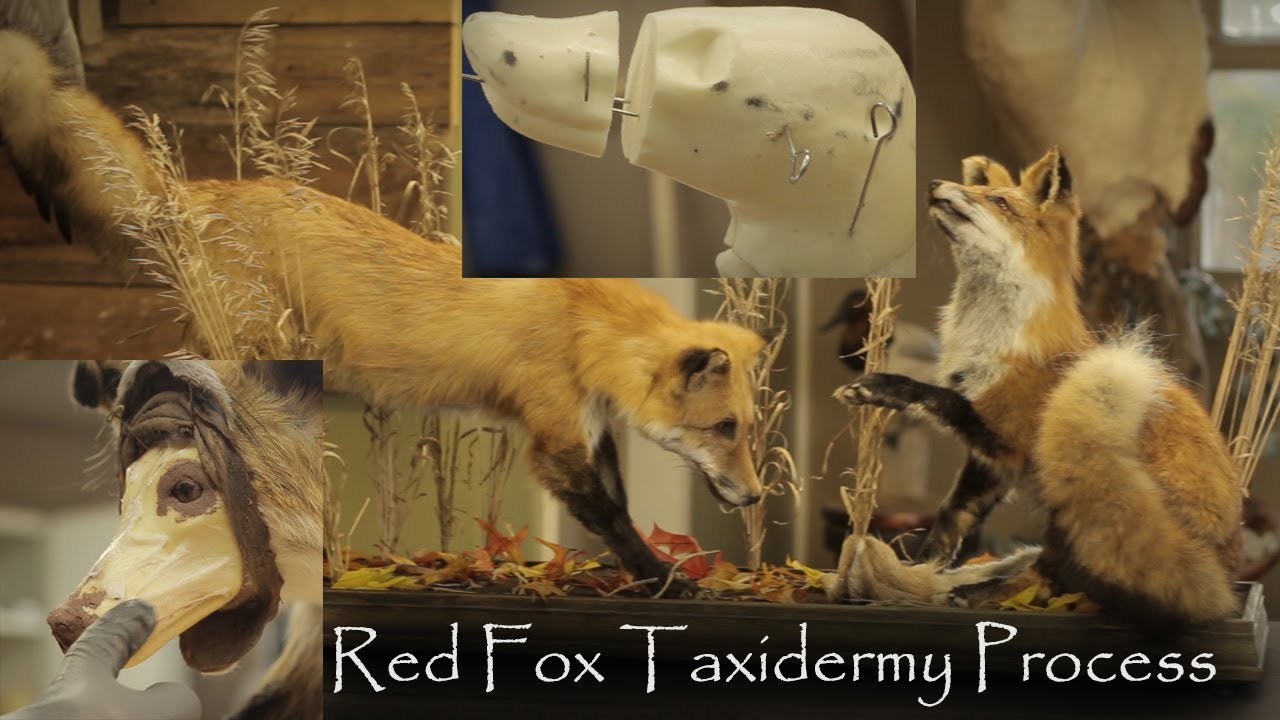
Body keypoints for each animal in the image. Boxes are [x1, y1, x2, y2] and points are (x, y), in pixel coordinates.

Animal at [0, 27, 770, 594]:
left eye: (747, 428)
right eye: (724, 428)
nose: (759, 498)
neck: (584, 326)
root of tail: (193, 193)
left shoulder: (591, 430)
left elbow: (621, 510)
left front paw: (653, 573)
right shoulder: (553, 440)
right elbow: (614, 520)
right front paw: (664, 580)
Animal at [834, 148, 1243, 627]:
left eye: (999, 202)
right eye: (977, 188)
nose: (935, 183)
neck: (990, 344)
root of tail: (1223, 591)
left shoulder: (1007, 435)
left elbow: (938, 396)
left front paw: (882, 388)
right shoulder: (992, 465)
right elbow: (953, 512)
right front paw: (926, 565)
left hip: (1078, 465)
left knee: (1052, 576)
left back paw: (978, 593)